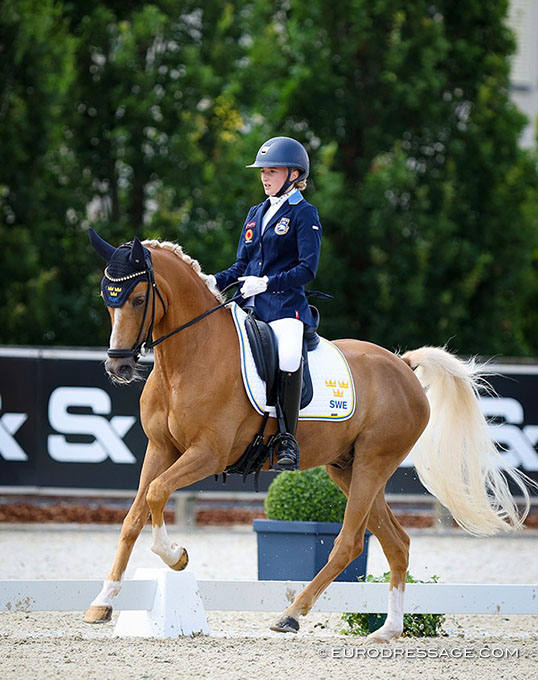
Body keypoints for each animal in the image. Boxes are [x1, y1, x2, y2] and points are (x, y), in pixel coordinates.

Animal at [84, 230, 533, 642]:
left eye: (138, 299)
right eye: (108, 300)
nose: (118, 367)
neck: (188, 358)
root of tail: (403, 365)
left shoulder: (208, 453)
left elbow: (158, 493)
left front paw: (176, 557)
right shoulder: (161, 448)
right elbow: (134, 516)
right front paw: (102, 602)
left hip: (373, 463)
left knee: (350, 542)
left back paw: (292, 614)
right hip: (347, 468)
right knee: (397, 542)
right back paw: (388, 629)